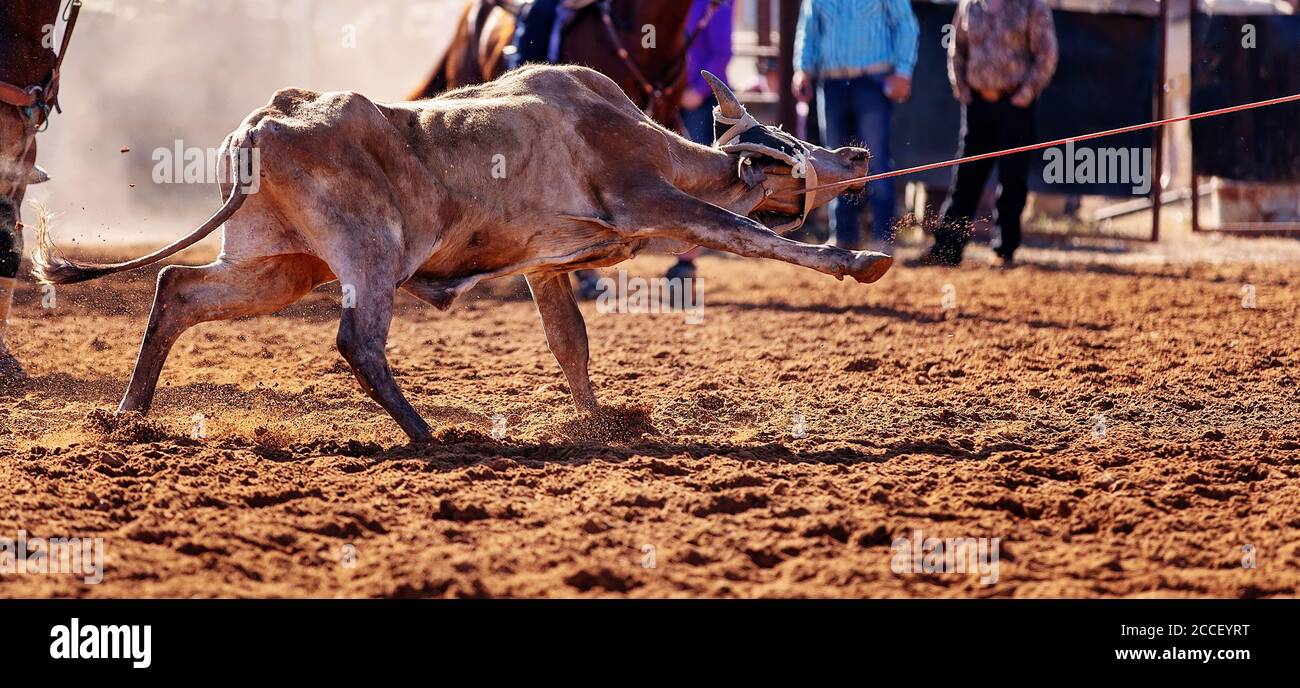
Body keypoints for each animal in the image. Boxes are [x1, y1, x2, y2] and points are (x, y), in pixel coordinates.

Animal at [32, 65, 891, 442]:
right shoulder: (649, 200)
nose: (854, 150)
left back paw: (128, 413)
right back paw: (428, 435)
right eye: (789, 139)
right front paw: (858, 262)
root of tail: (268, 121)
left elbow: (570, 343)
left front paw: (600, 420)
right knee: (357, 340)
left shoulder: (546, 268)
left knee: (176, 288)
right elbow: (753, 236)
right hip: (369, 255)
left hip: (277, 268)